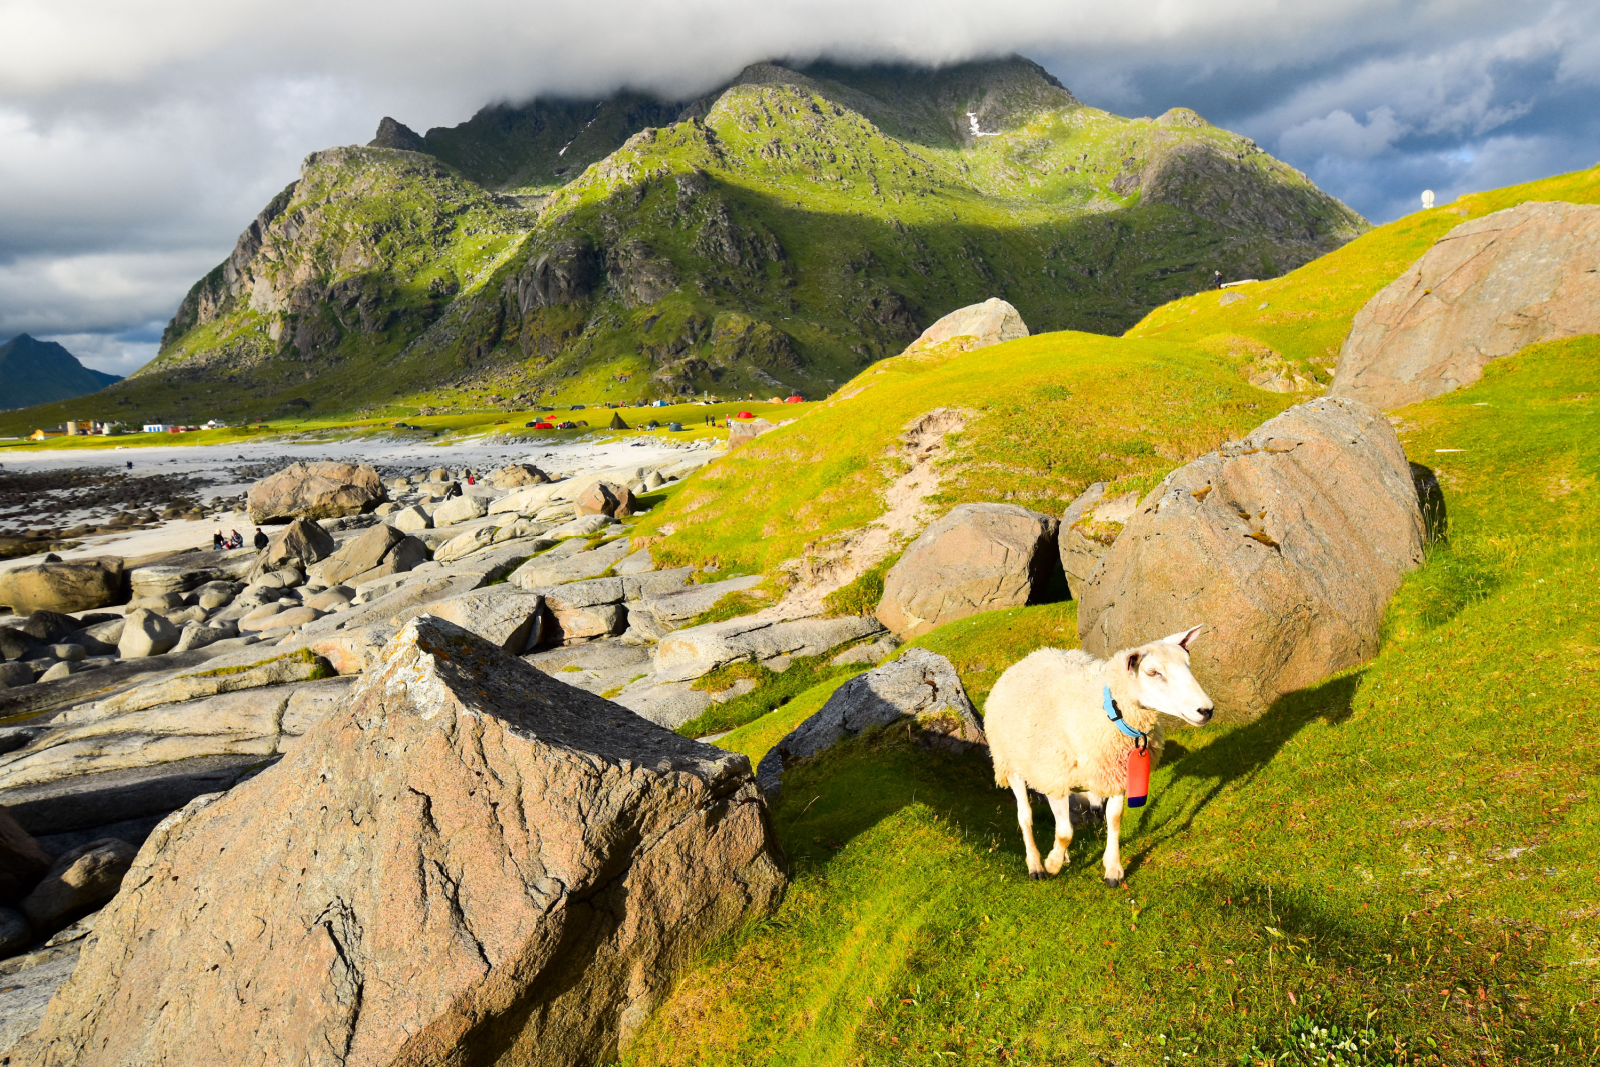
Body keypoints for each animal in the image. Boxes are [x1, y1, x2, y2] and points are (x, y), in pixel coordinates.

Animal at [985, 626, 1214, 887]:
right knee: (1025, 816)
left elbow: (1113, 819)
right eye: (1153, 672)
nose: (1206, 710)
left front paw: (1113, 869)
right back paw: (1036, 865)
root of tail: (1033, 655)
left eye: (1188, 664)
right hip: (1010, 764)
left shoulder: (1116, 774)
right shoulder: (1055, 774)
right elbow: (1065, 833)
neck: (1109, 711)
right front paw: (1051, 864)